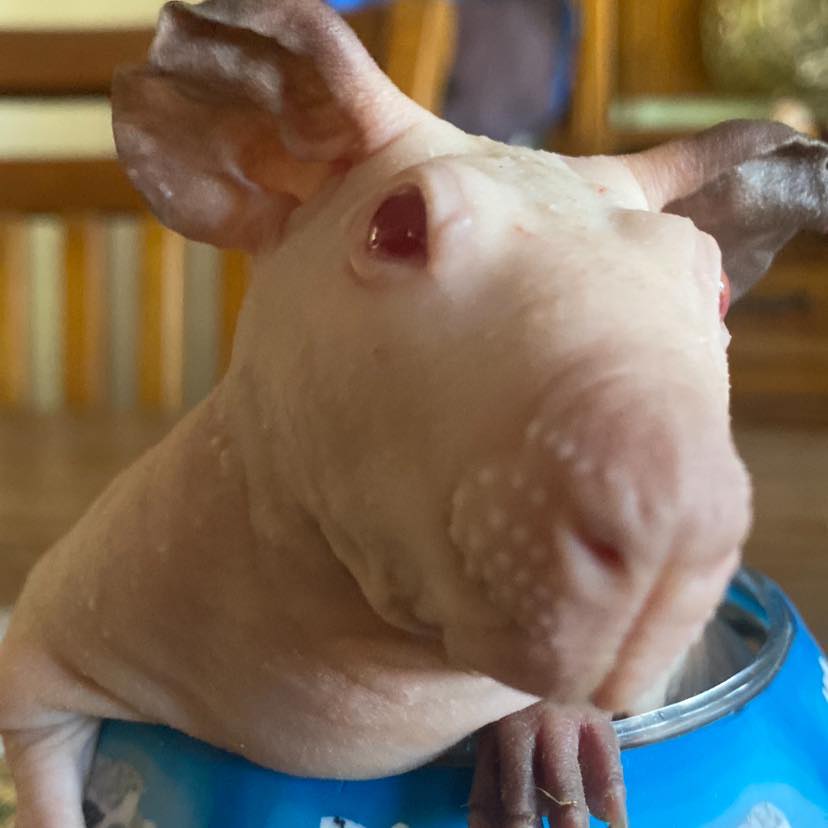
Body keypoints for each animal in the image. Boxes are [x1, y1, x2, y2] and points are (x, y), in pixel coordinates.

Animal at [1, 1, 826, 827]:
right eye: (395, 227)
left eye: (720, 291)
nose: (677, 531)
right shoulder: (95, 603)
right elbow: (35, 732)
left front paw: (549, 729)